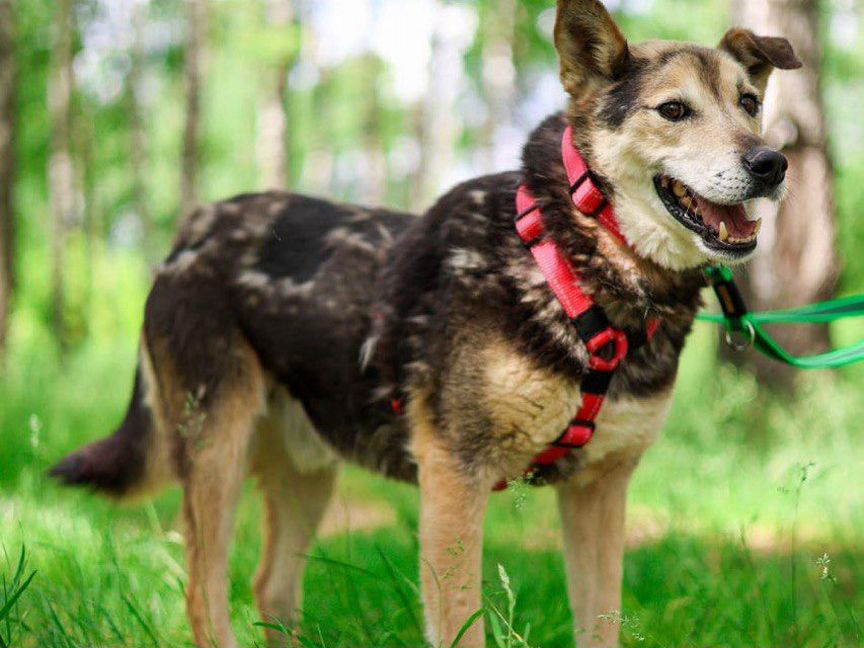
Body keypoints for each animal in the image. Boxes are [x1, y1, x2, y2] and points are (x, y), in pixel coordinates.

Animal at [50, 2, 800, 644]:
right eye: (674, 110)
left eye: (750, 104)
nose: (772, 163)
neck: (577, 266)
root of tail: (193, 229)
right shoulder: (455, 479)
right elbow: (463, 625)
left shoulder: (599, 491)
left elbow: (601, 624)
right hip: (214, 454)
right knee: (205, 599)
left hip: (305, 471)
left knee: (270, 588)